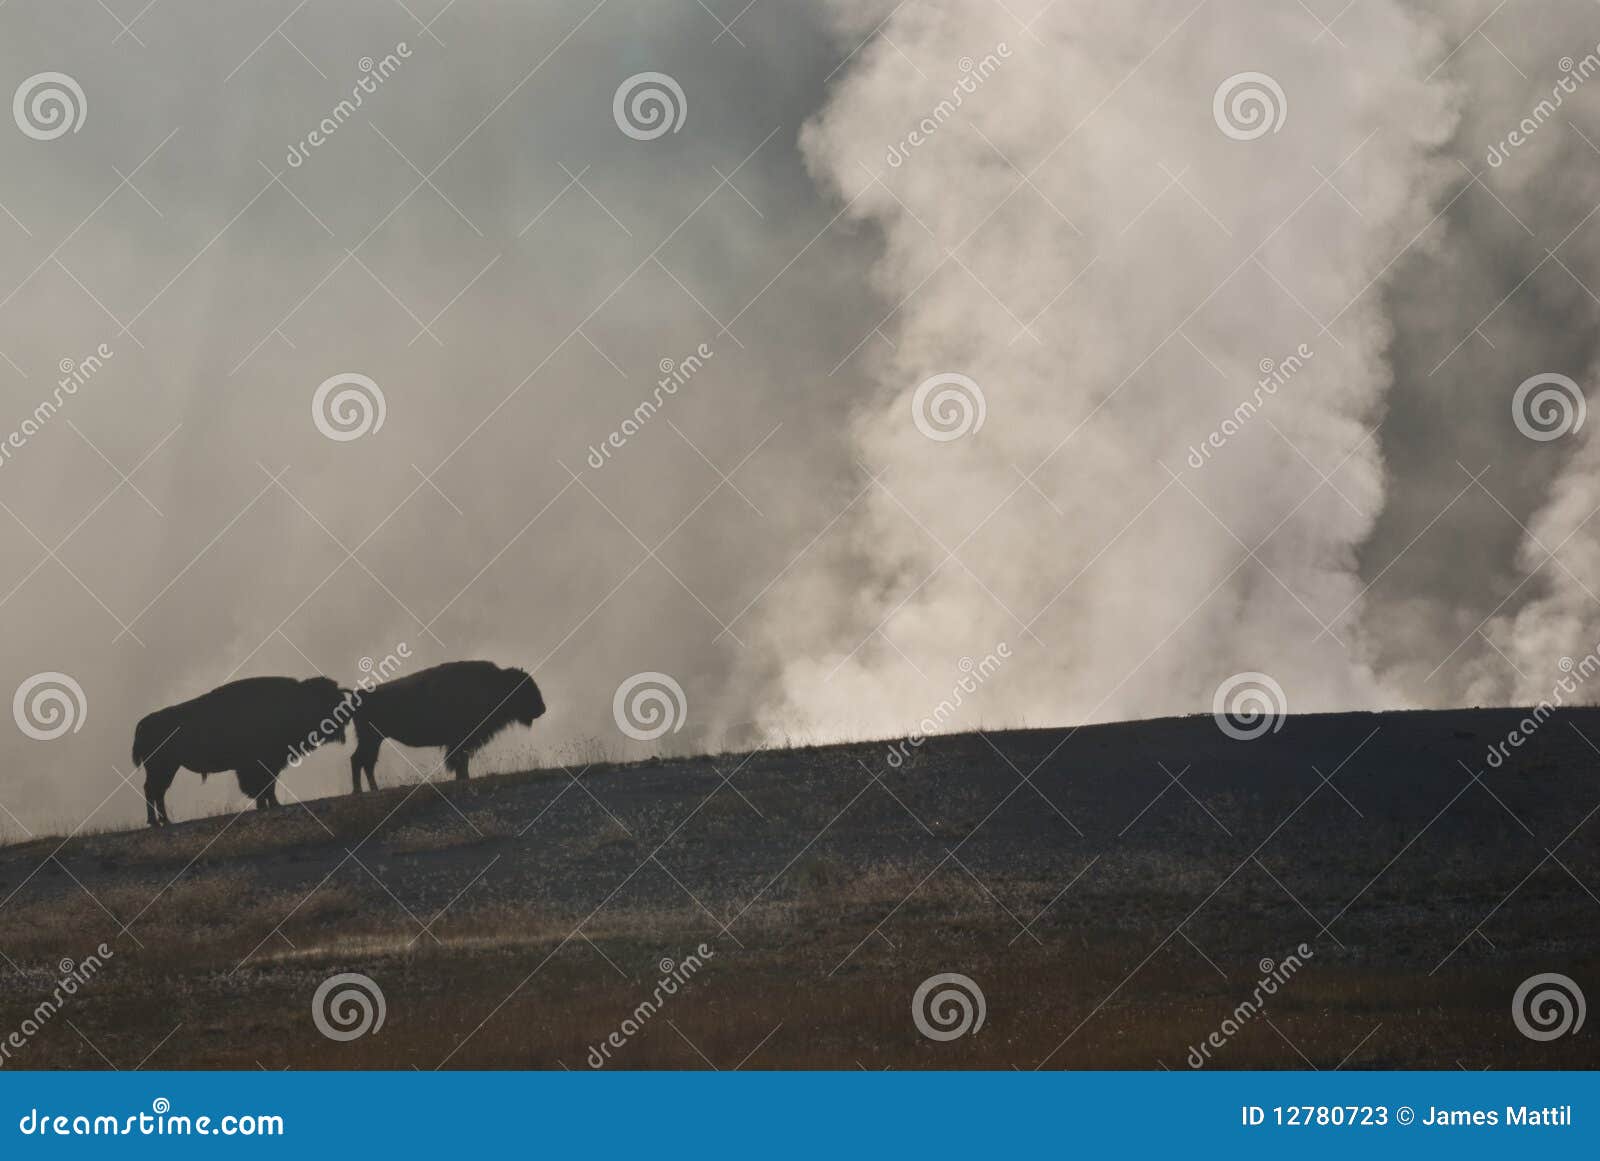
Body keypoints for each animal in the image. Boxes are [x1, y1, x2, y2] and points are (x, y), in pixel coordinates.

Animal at [131, 676, 351, 826]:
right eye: (325, 698)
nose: (344, 716)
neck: (297, 700)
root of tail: (145, 722)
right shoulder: (260, 765)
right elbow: (263, 785)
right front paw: (269, 804)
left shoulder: (271, 764)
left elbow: (269, 785)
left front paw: (272, 804)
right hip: (162, 768)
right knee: (152, 790)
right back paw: (156, 822)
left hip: (169, 768)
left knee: (157, 791)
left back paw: (164, 821)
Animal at [349, 660, 546, 791]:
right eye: (524, 687)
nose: (542, 708)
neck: (496, 684)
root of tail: (359, 695)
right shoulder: (460, 740)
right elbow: (459, 760)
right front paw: (463, 778)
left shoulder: (463, 742)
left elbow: (462, 760)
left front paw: (463, 778)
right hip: (371, 739)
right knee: (360, 760)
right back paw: (361, 791)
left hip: (374, 740)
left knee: (365, 762)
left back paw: (372, 790)